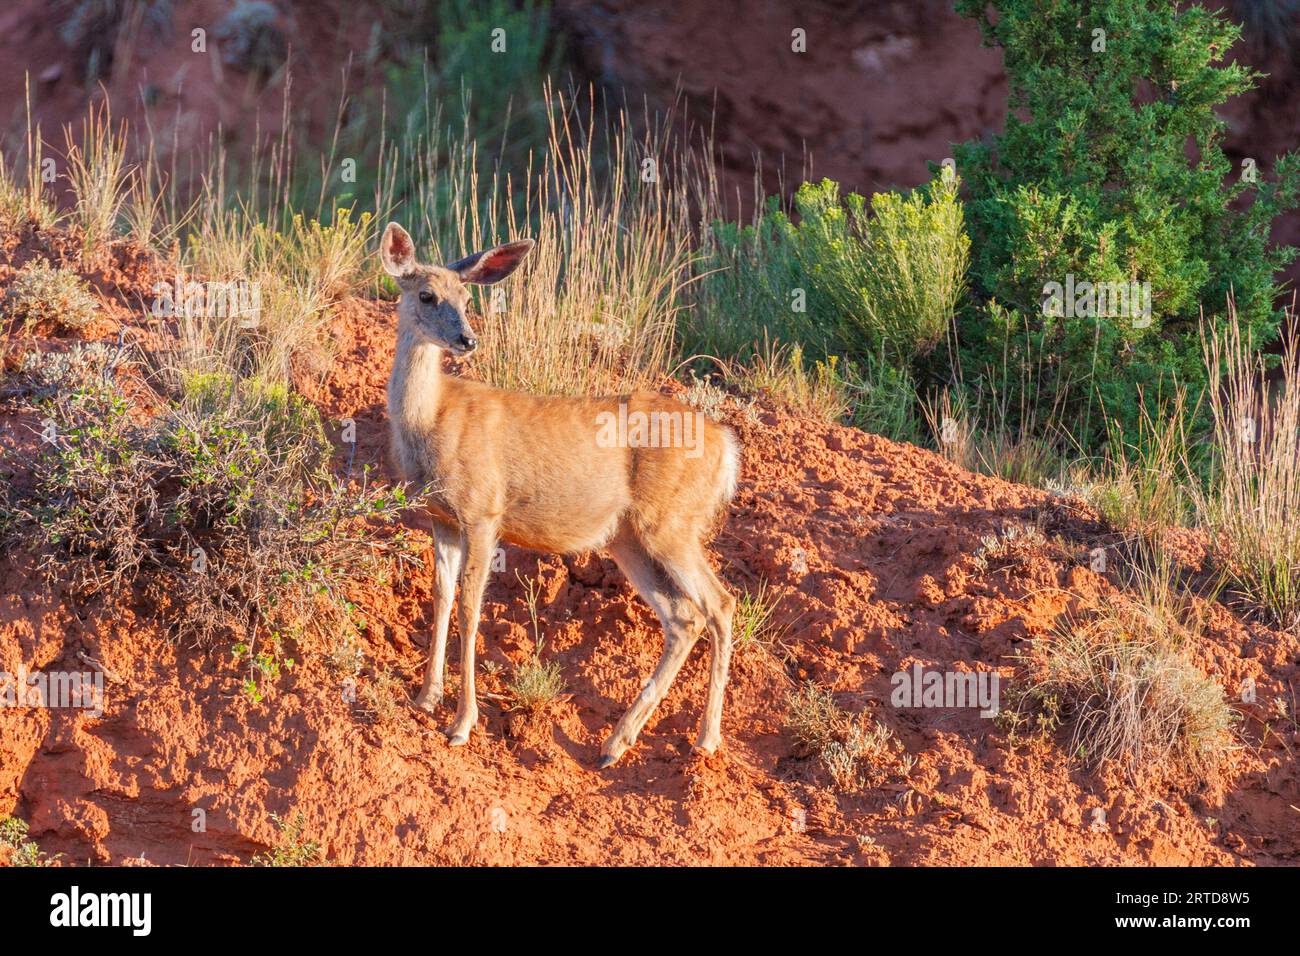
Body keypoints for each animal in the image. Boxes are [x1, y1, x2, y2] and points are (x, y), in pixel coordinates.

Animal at [380, 222, 740, 768]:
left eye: (466, 297)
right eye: (426, 295)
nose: (467, 338)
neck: (432, 419)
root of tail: (726, 445)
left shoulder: (484, 511)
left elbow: (469, 608)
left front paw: (462, 724)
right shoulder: (440, 516)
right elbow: (440, 599)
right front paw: (426, 698)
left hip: (671, 523)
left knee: (720, 604)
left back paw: (705, 739)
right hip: (628, 538)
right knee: (684, 617)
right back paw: (615, 743)